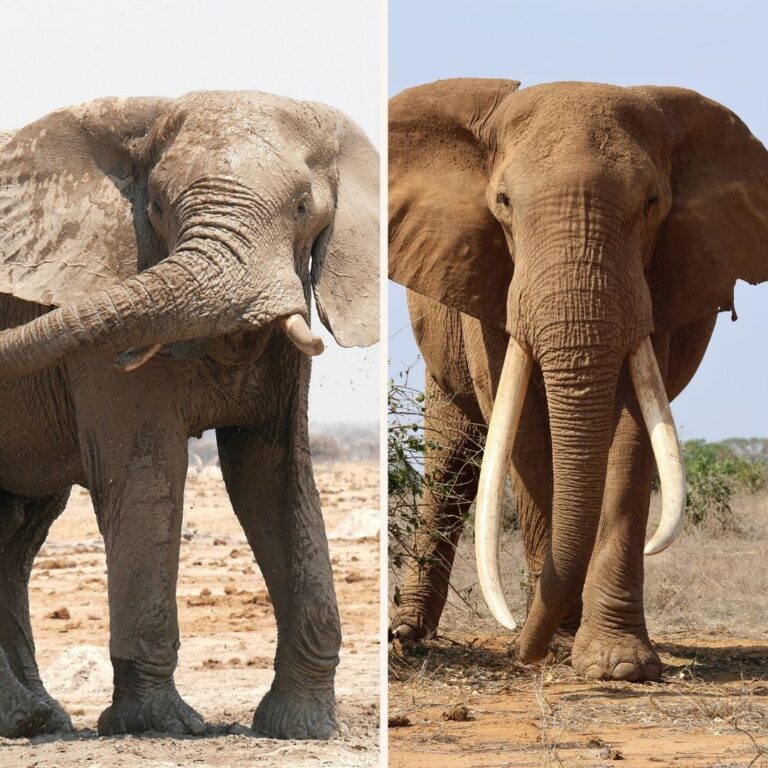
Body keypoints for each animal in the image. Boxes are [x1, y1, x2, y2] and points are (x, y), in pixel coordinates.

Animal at [0, 90, 378, 738]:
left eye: (303, 207)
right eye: (155, 207)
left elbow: (272, 477)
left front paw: (300, 726)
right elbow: (147, 471)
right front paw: (158, 724)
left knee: (19, 532)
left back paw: (37, 717)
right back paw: (27, 718)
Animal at [388, 78, 768, 681]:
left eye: (652, 205)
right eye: (503, 203)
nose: (521, 651)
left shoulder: (654, 282)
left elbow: (633, 434)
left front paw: (617, 665)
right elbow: (522, 429)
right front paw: (560, 648)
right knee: (452, 456)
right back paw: (407, 637)